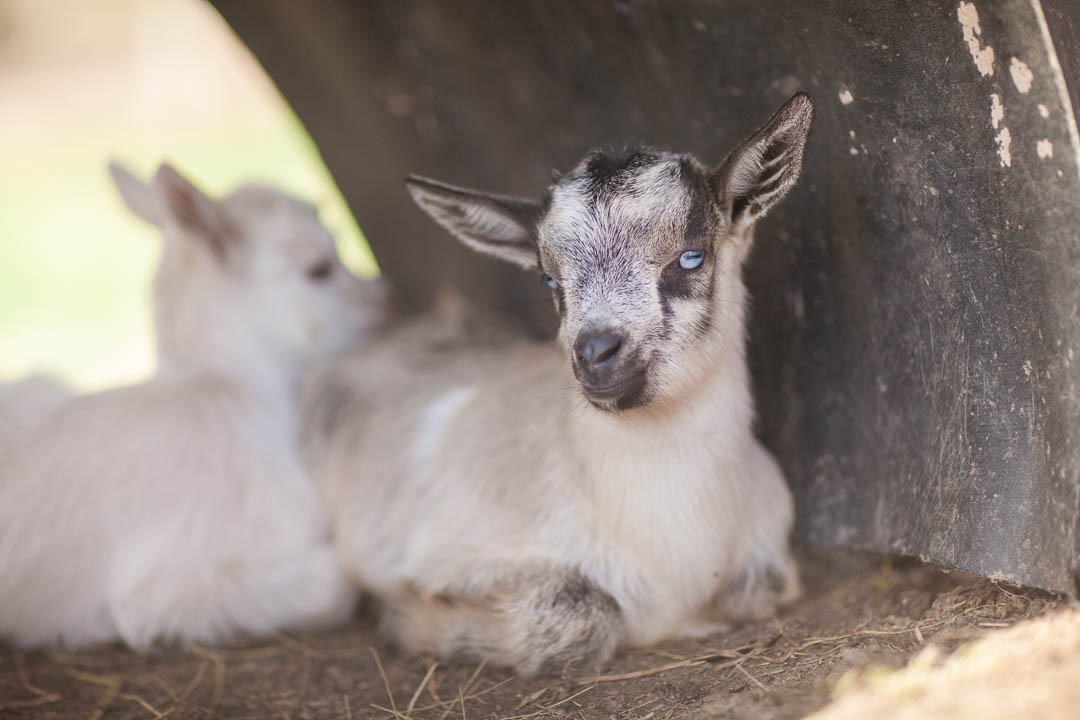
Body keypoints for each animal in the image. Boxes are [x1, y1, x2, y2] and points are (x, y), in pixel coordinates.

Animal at [302, 93, 814, 675]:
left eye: (691, 256)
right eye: (550, 279)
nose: (595, 353)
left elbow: (762, 587)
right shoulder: (451, 554)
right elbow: (583, 609)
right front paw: (414, 619)